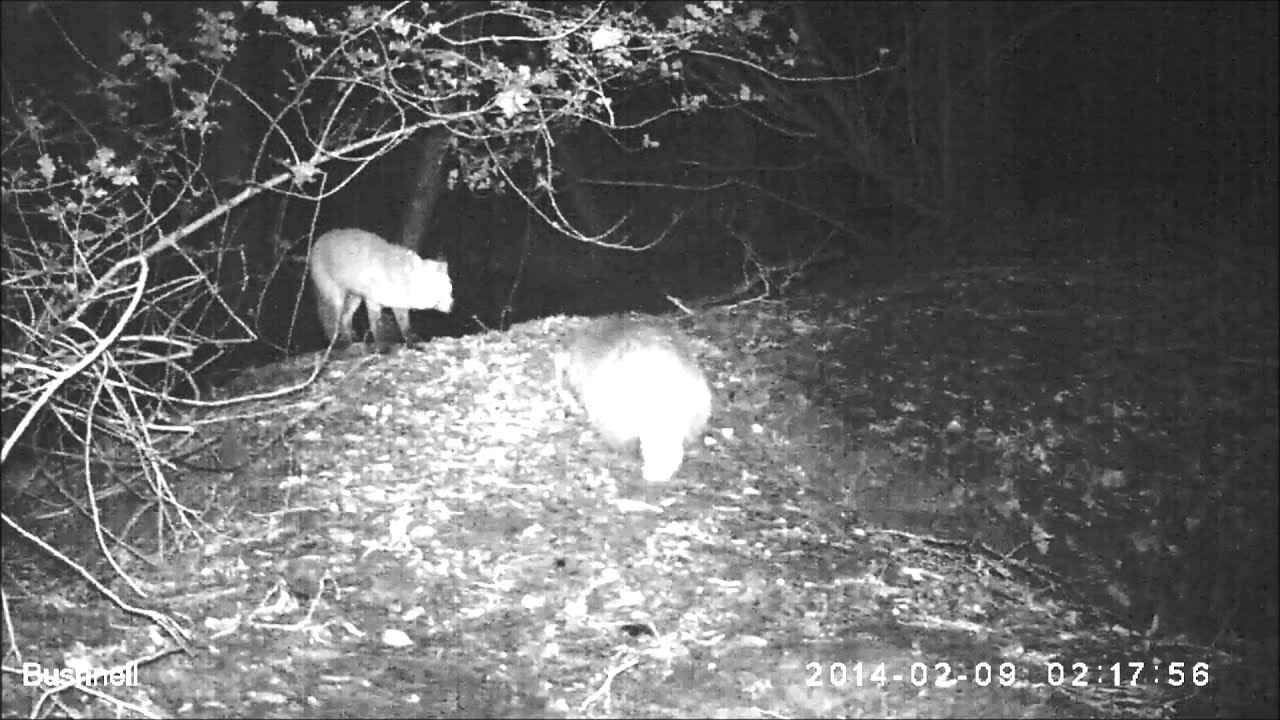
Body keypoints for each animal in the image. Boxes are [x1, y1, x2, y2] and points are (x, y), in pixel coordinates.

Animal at [309, 228, 453, 345]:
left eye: (449, 289)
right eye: (436, 288)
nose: (452, 305)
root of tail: (319, 240)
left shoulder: (398, 304)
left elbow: (405, 327)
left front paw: (411, 341)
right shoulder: (373, 301)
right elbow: (377, 327)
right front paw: (382, 347)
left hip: (356, 298)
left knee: (345, 317)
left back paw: (351, 339)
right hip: (336, 297)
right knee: (330, 319)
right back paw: (336, 343)